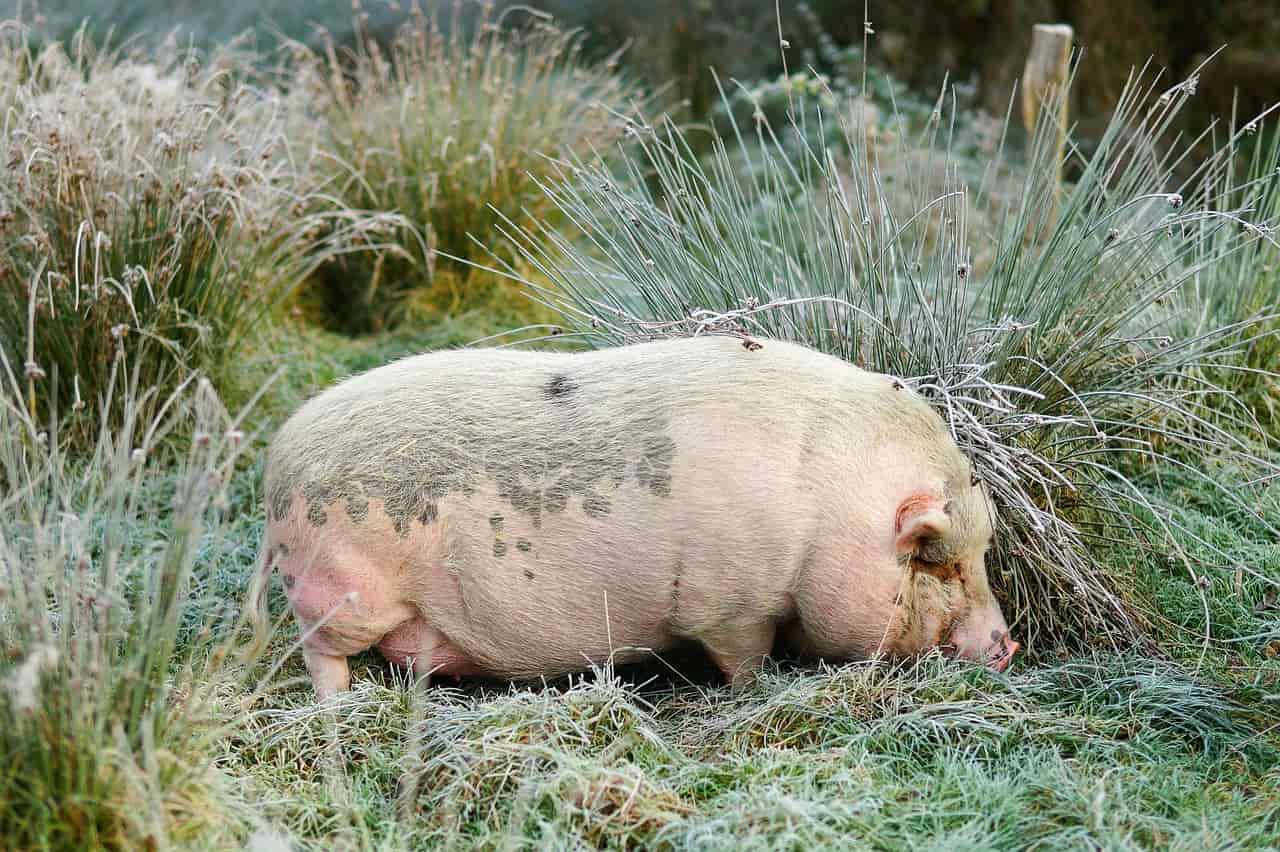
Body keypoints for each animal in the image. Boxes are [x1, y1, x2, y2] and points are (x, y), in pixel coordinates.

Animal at [252, 335, 1018, 698]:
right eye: (941, 564)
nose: (1008, 646)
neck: (828, 514)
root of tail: (277, 460)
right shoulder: (729, 603)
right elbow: (745, 657)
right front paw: (758, 690)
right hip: (340, 590)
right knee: (322, 654)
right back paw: (341, 706)